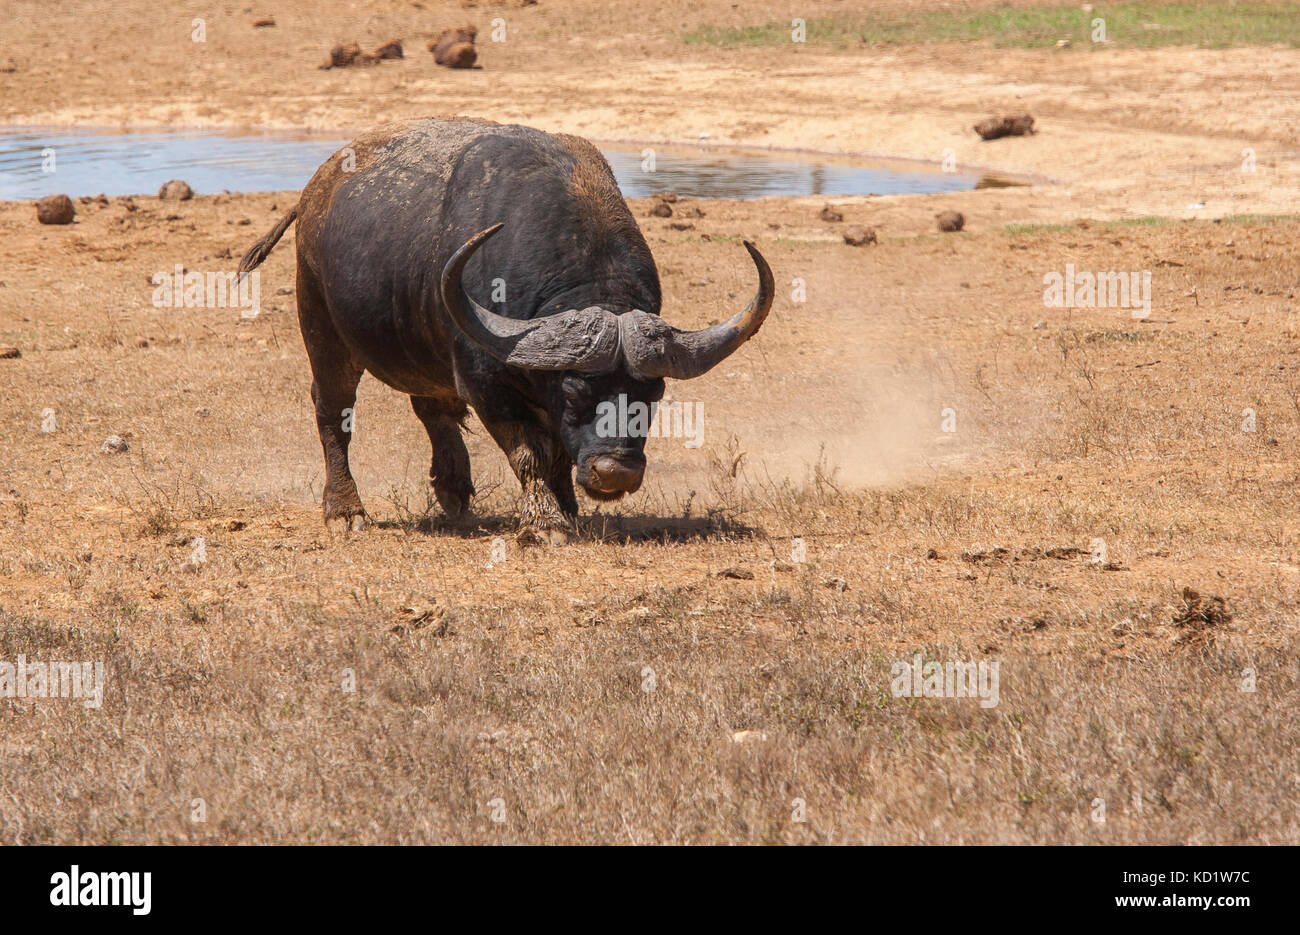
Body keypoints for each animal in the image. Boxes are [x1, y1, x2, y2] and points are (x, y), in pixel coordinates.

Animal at [239, 117, 773, 542]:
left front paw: (567, 510)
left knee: (432, 409)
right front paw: (545, 523)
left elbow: (556, 454)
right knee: (333, 412)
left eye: (654, 394)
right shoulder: (486, 385)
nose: (615, 473)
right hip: (322, 329)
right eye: (576, 392)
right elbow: (531, 453)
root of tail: (316, 190)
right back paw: (345, 510)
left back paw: (454, 491)